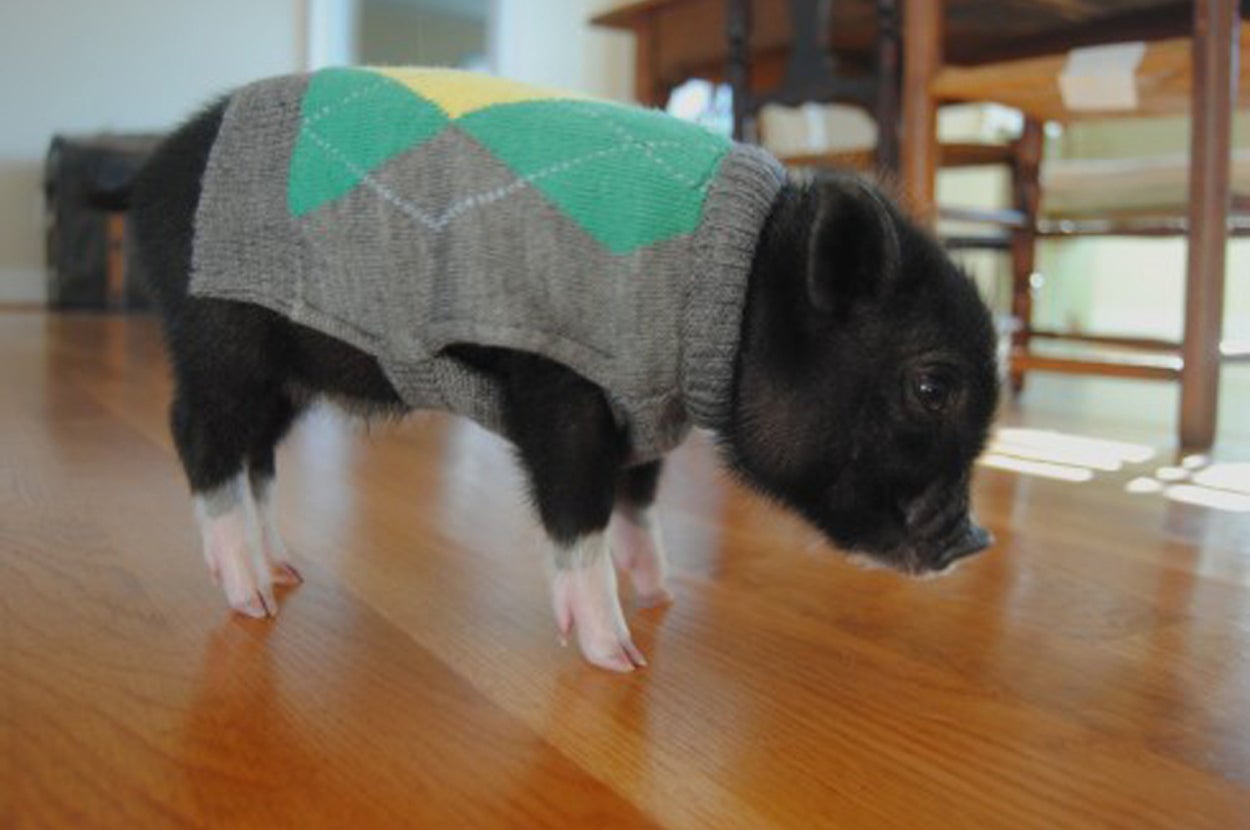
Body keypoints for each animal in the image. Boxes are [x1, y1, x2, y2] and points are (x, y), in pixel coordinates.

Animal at [126, 68, 999, 672]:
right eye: (932, 386)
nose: (976, 539)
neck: (736, 291)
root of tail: (153, 172)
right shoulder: (561, 389)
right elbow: (579, 507)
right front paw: (620, 656)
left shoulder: (644, 408)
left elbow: (640, 496)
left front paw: (660, 592)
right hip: (220, 335)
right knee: (197, 433)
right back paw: (251, 600)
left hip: (289, 376)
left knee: (258, 456)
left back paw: (286, 572)